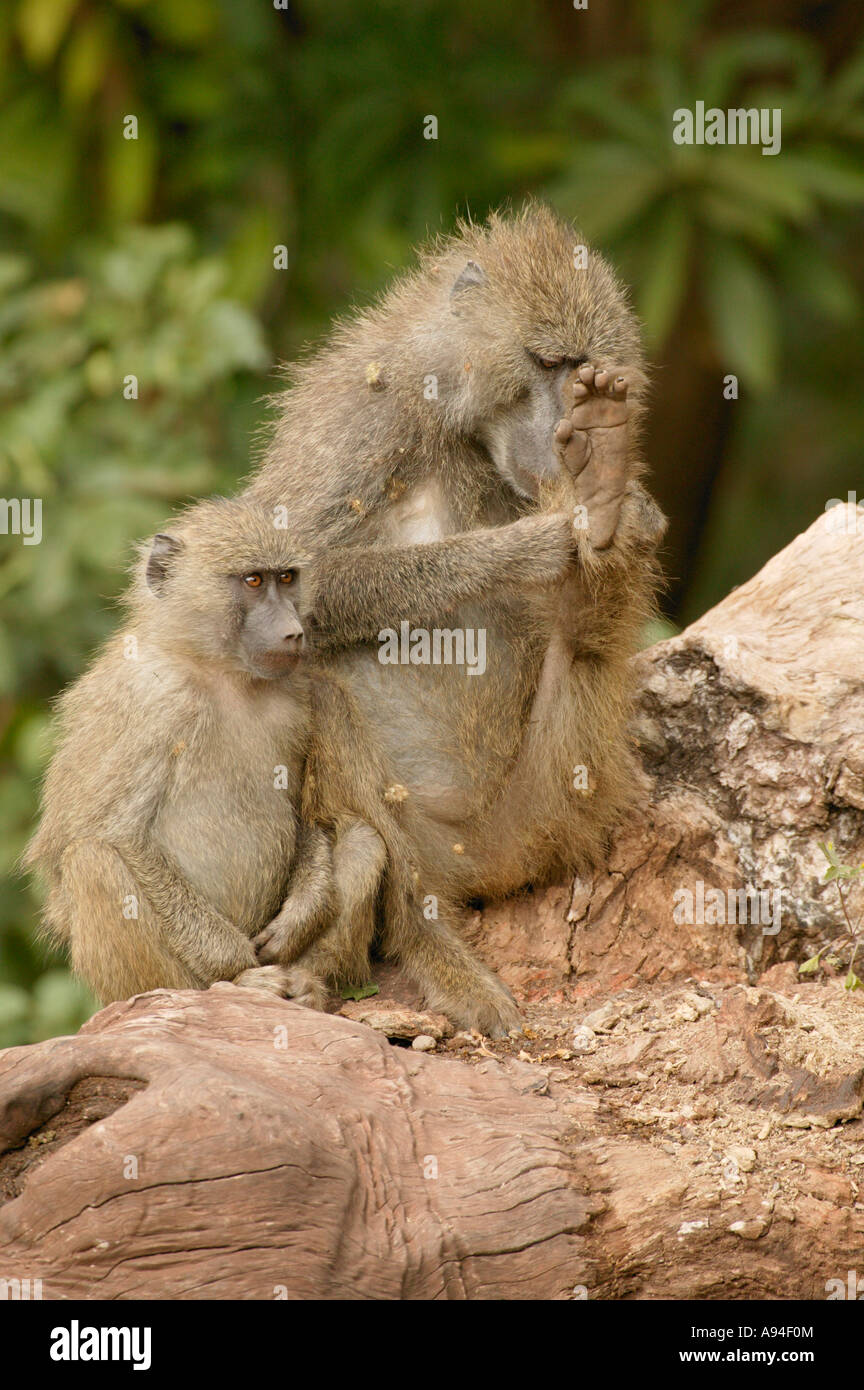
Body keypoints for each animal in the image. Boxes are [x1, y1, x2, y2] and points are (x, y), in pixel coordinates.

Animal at [23, 496, 388, 1008]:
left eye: (287, 578)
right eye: (253, 581)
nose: (293, 632)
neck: (221, 673)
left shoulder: (299, 702)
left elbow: (306, 812)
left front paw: (300, 918)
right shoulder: (154, 700)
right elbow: (114, 833)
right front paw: (235, 964)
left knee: (364, 839)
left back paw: (306, 983)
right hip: (137, 983)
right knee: (92, 860)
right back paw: (236, 984)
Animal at [241, 203, 666, 1036]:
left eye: (583, 365)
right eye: (546, 361)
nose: (571, 428)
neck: (462, 427)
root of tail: (488, 861)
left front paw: (606, 506)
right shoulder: (363, 413)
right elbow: (299, 576)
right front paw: (529, 546)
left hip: (555, 795)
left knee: (584, 652)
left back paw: (601, 516)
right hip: (426, 844)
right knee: (316, 686)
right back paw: (438, 954)